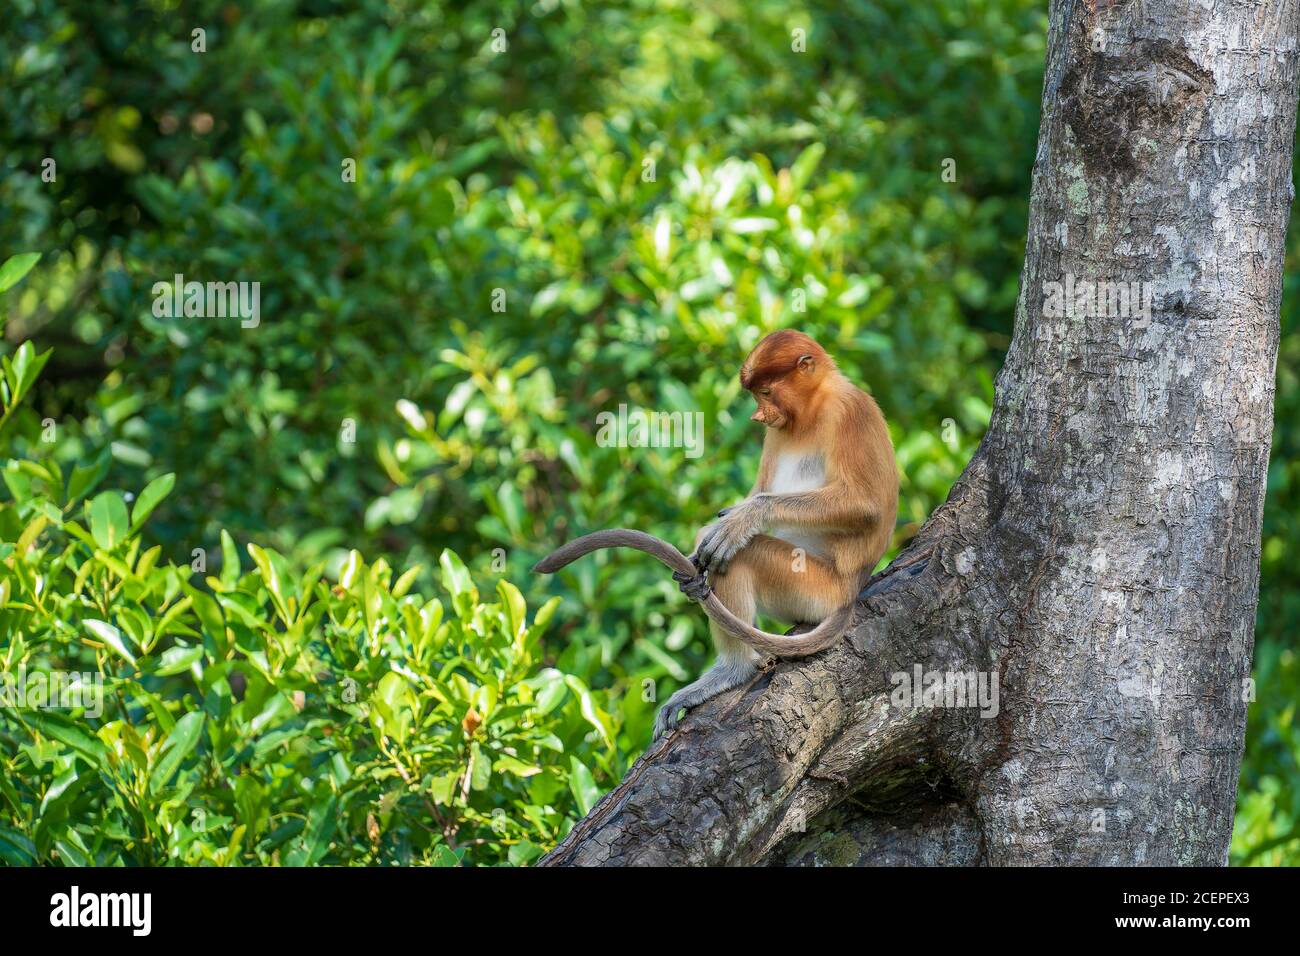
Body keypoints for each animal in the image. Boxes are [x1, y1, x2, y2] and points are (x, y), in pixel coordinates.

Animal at [534, 330, 898, 739]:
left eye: (766, 392)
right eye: (757, 396)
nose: (758, 416)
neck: (815, 406)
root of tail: (851, 589)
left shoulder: (850, 411)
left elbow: (865, 505)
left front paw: (742, 520)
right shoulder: (776, 435)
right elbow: (757, 491)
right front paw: (703, 551)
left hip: (817, 589)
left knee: (742, 555)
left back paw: (733, 670)